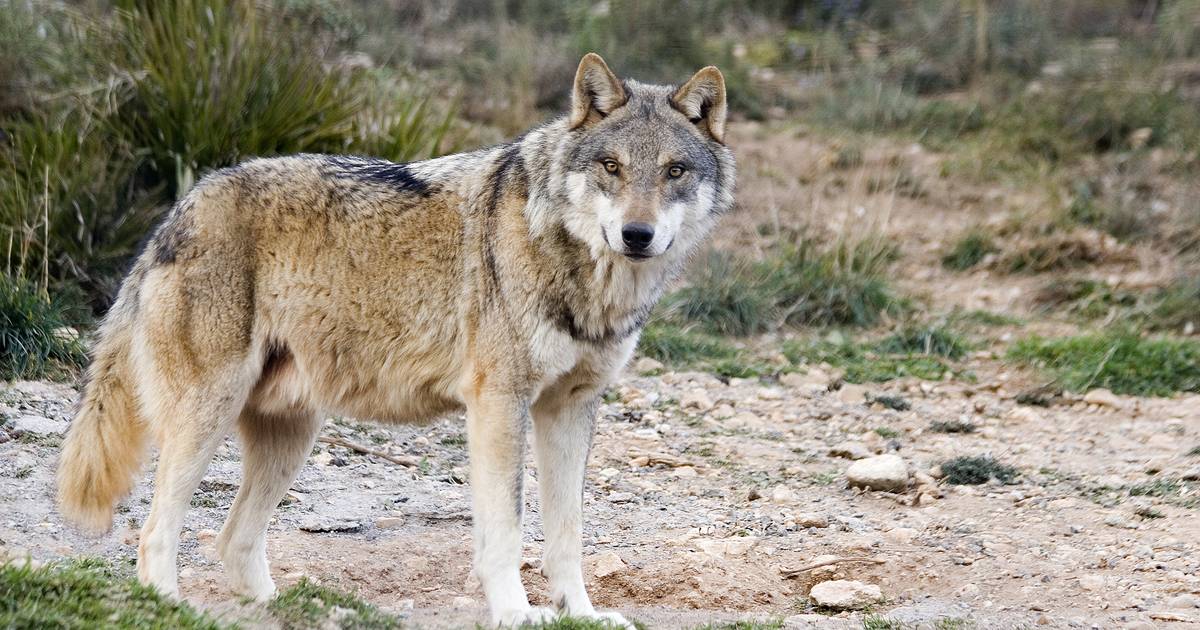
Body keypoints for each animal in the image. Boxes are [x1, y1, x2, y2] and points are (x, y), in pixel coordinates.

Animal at [57, 53, 735, 626]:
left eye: (674, 171)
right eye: (611, 167)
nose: (637, 235)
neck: (582, 276)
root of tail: (179, 209)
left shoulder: (571, 408)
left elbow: (567, 533)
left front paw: (584, 615)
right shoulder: (499, 404)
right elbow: (507, 530)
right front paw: (517, 613)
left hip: (291, 436)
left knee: (231, 539)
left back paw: (302, 606)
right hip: (206, 419)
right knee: (156, 532)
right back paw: (170, 606)